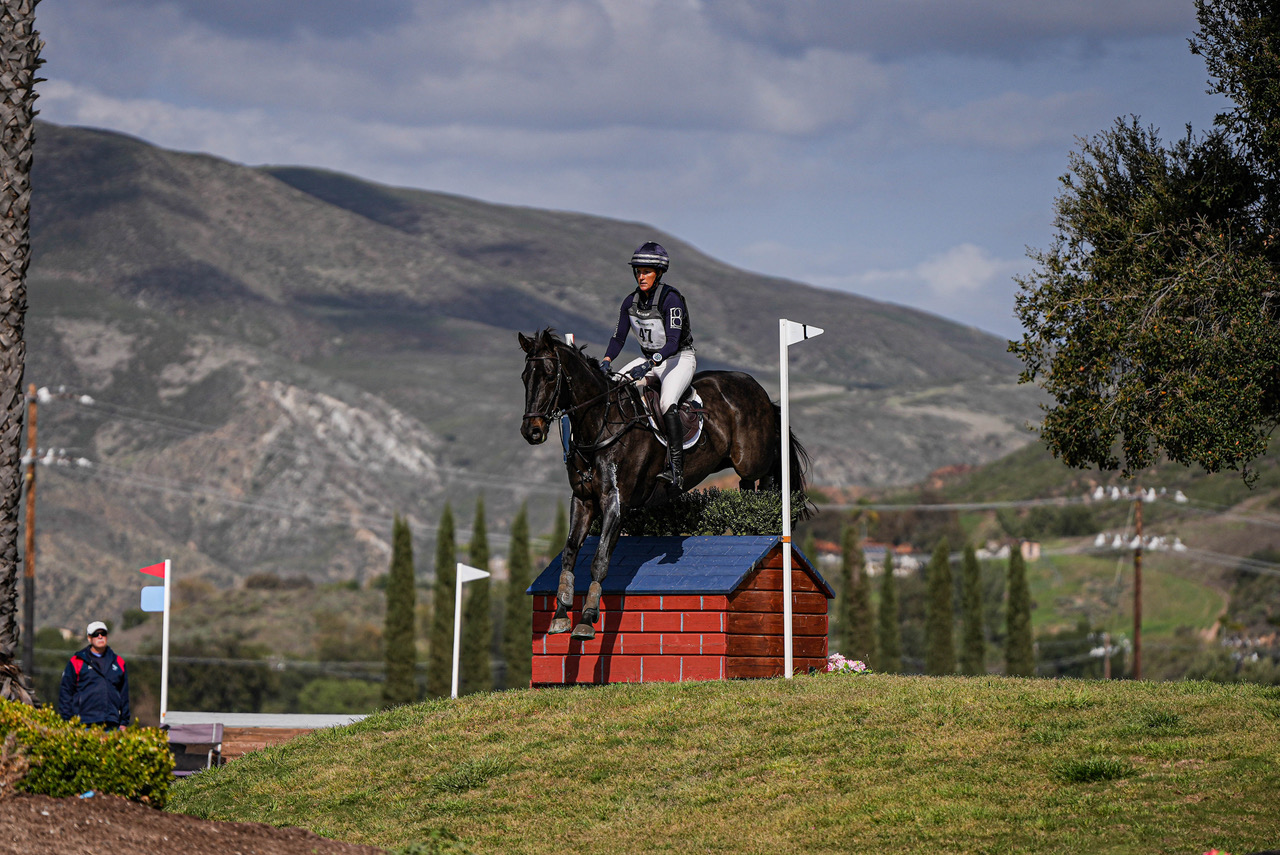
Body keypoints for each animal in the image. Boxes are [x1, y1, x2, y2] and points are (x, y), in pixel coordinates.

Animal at [519, 328, 809, 640]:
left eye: (550, 375)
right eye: (525, 377)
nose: (531, 431)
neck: (599, 425)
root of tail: (758, 390)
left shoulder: (616, 502)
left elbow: (600, 559)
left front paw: (586, 619)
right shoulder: (583, 500)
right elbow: (570, 552)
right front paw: (561, 614)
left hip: (752, 457)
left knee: (772, 464)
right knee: (748, 484)